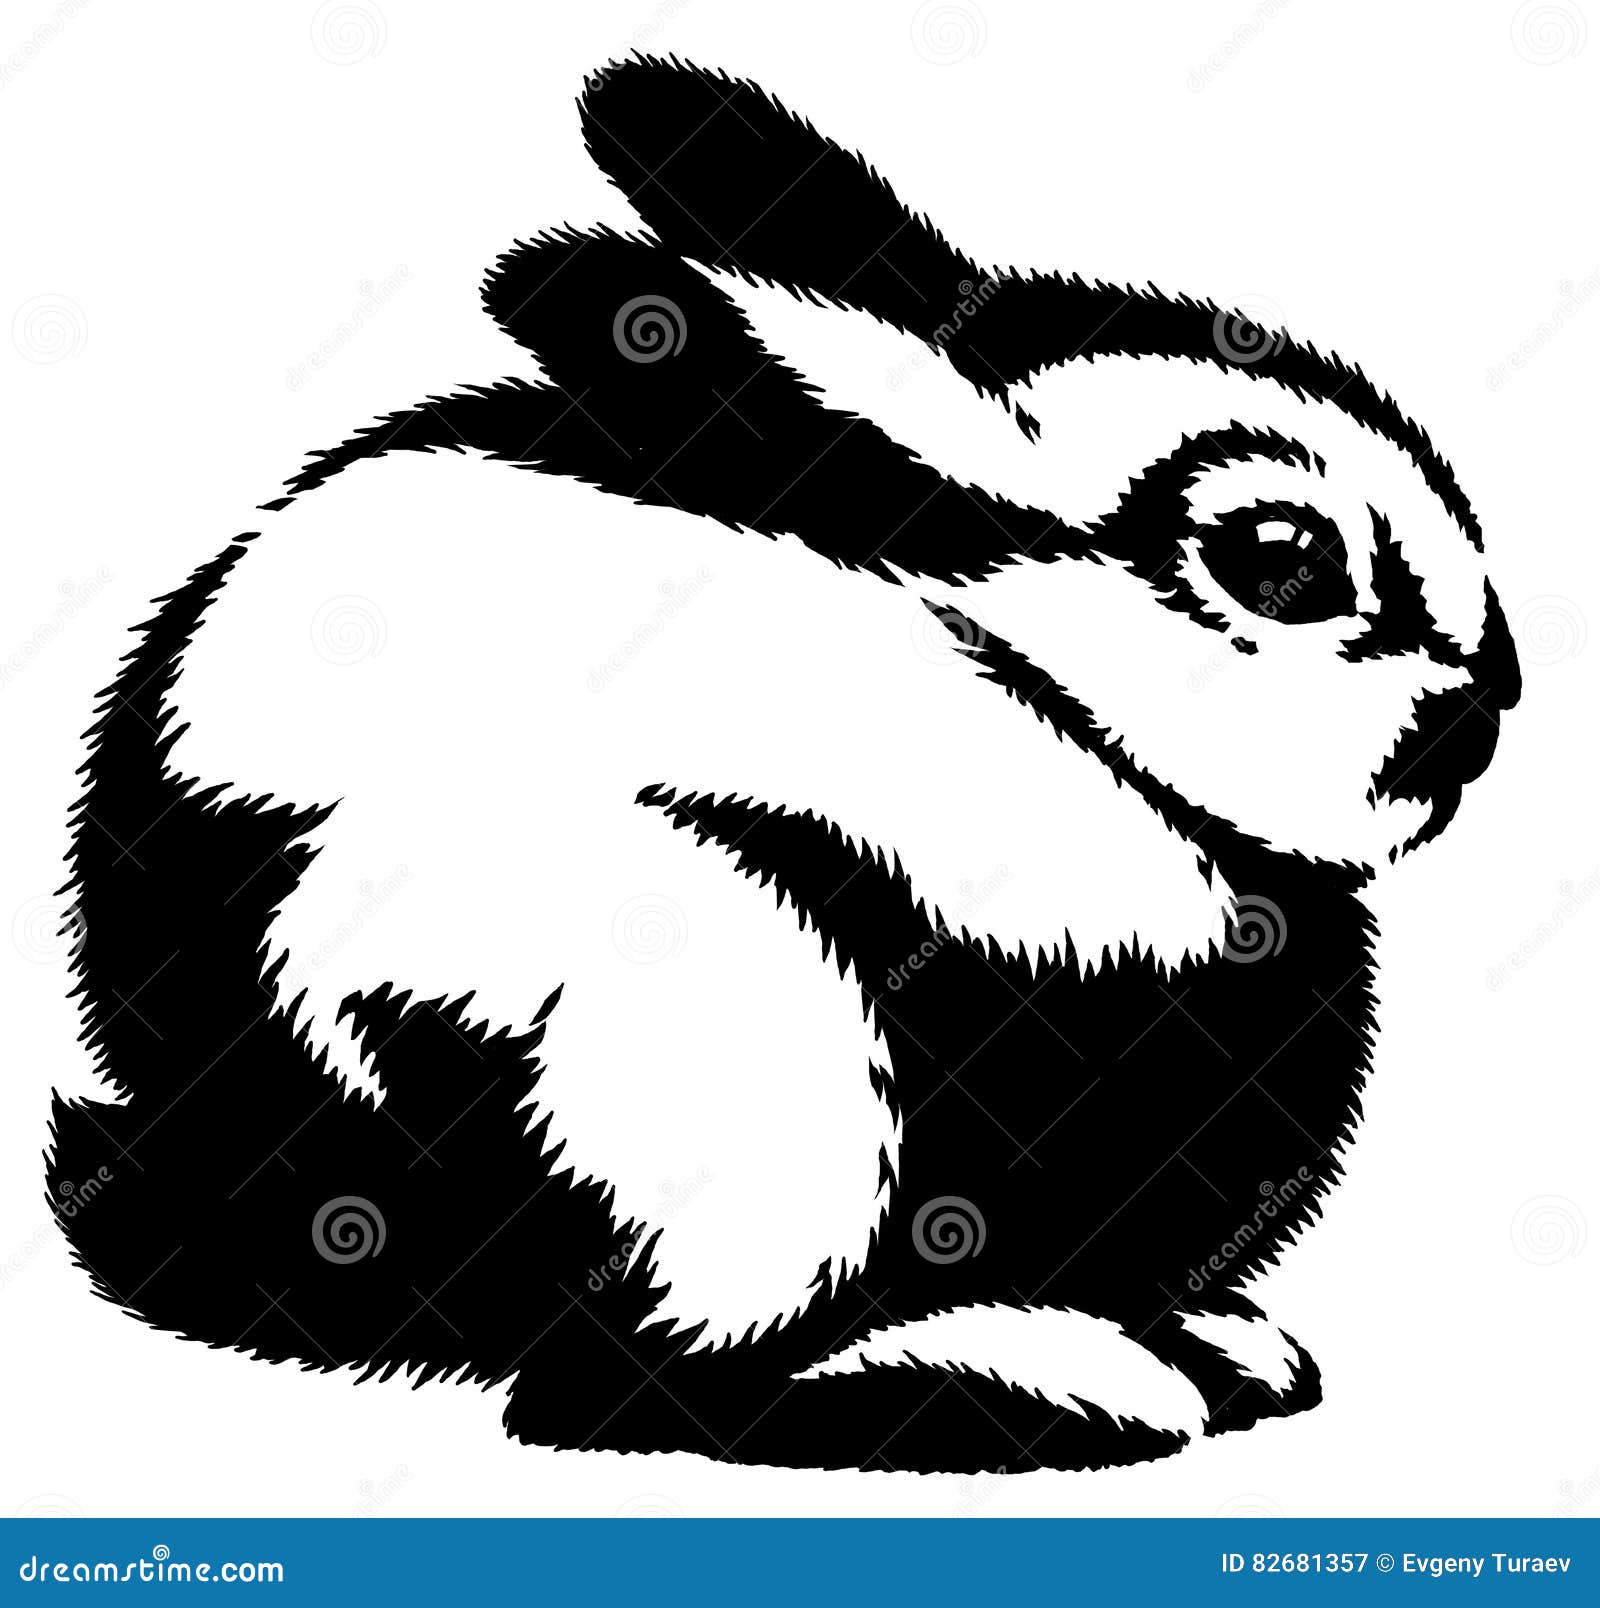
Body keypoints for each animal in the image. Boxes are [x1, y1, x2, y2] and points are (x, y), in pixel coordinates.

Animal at [48, 55, 1519, 1475]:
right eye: (1278, 558)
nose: (1488, 710)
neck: (1028, 673)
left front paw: (1224, 1341)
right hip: (719, 1017)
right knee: (617, 1384)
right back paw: (1024, 1388)